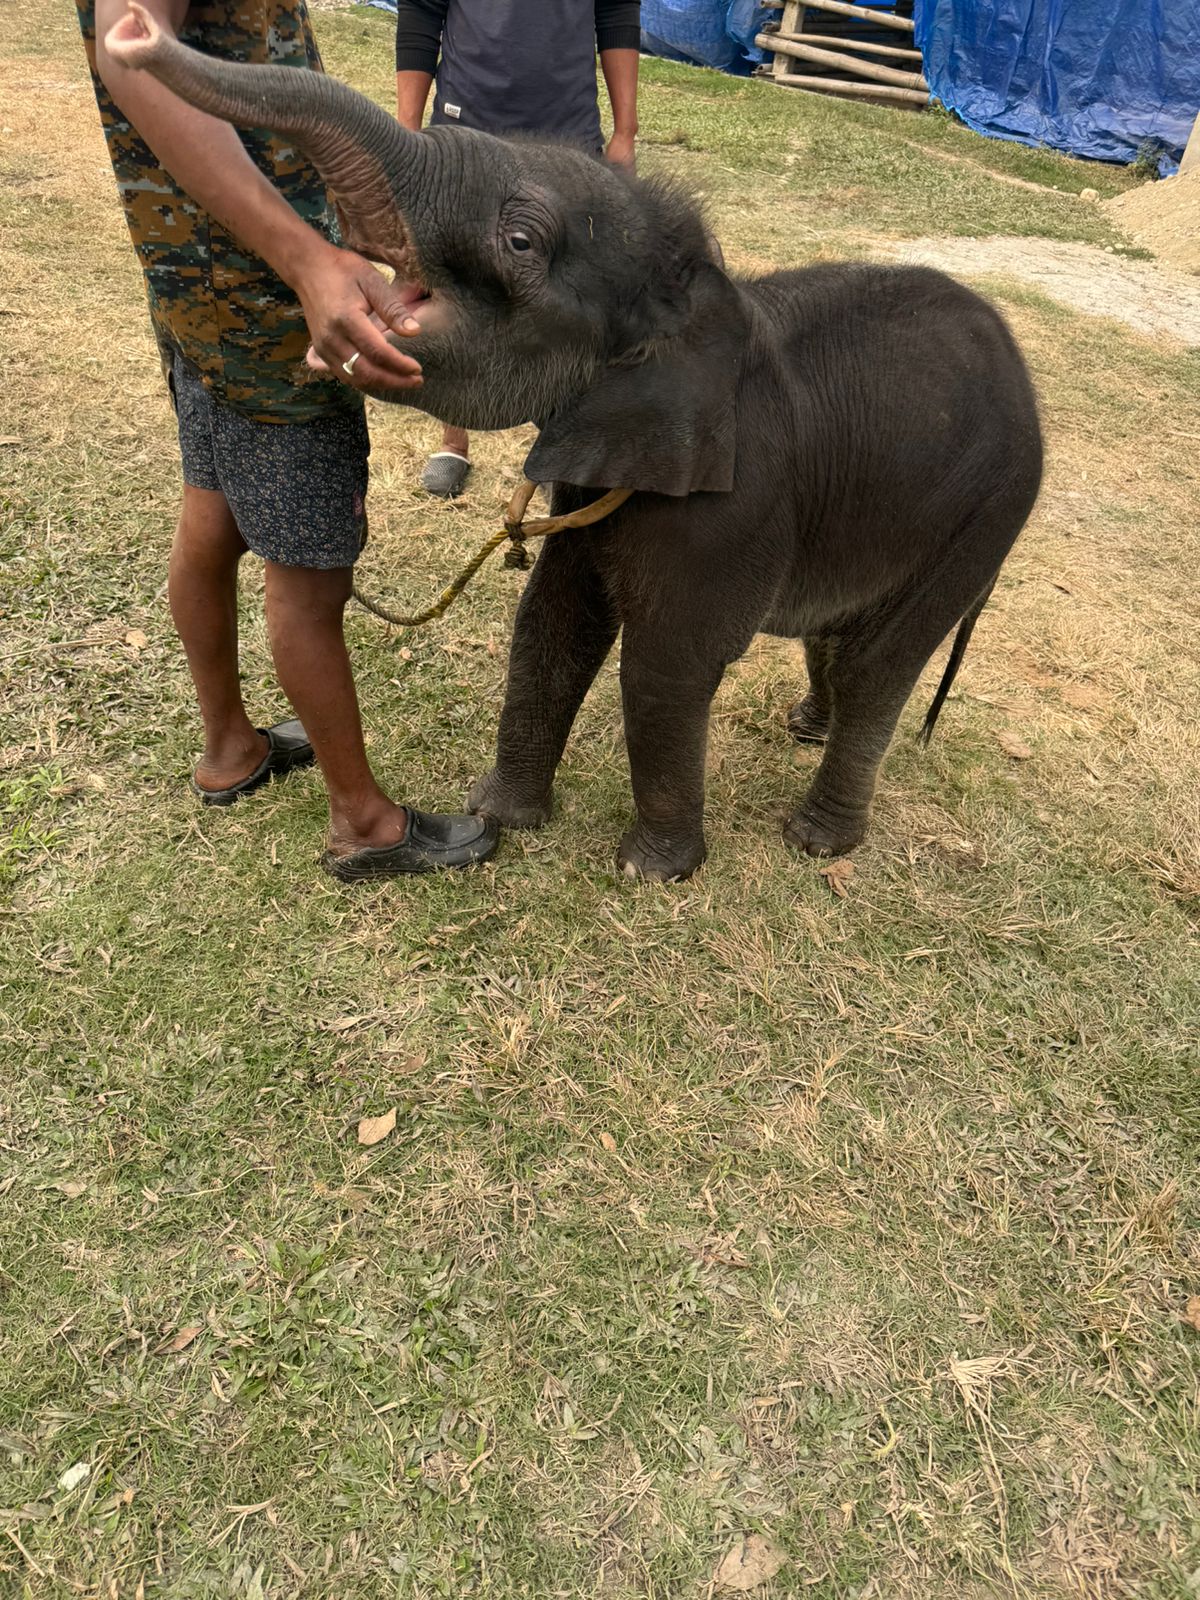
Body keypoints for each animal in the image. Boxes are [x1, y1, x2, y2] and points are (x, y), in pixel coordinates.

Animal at [109, 7, 1043, 881]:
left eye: (521, 242)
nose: (129, 32)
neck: (694, 305)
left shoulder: (732, 505)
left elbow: (667, 662)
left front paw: (650, 872)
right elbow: (551, 618)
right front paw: (495, 818)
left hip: (989, 509)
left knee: (877, 665)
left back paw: (817, 840)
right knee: (837, 634)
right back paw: (805, 729)